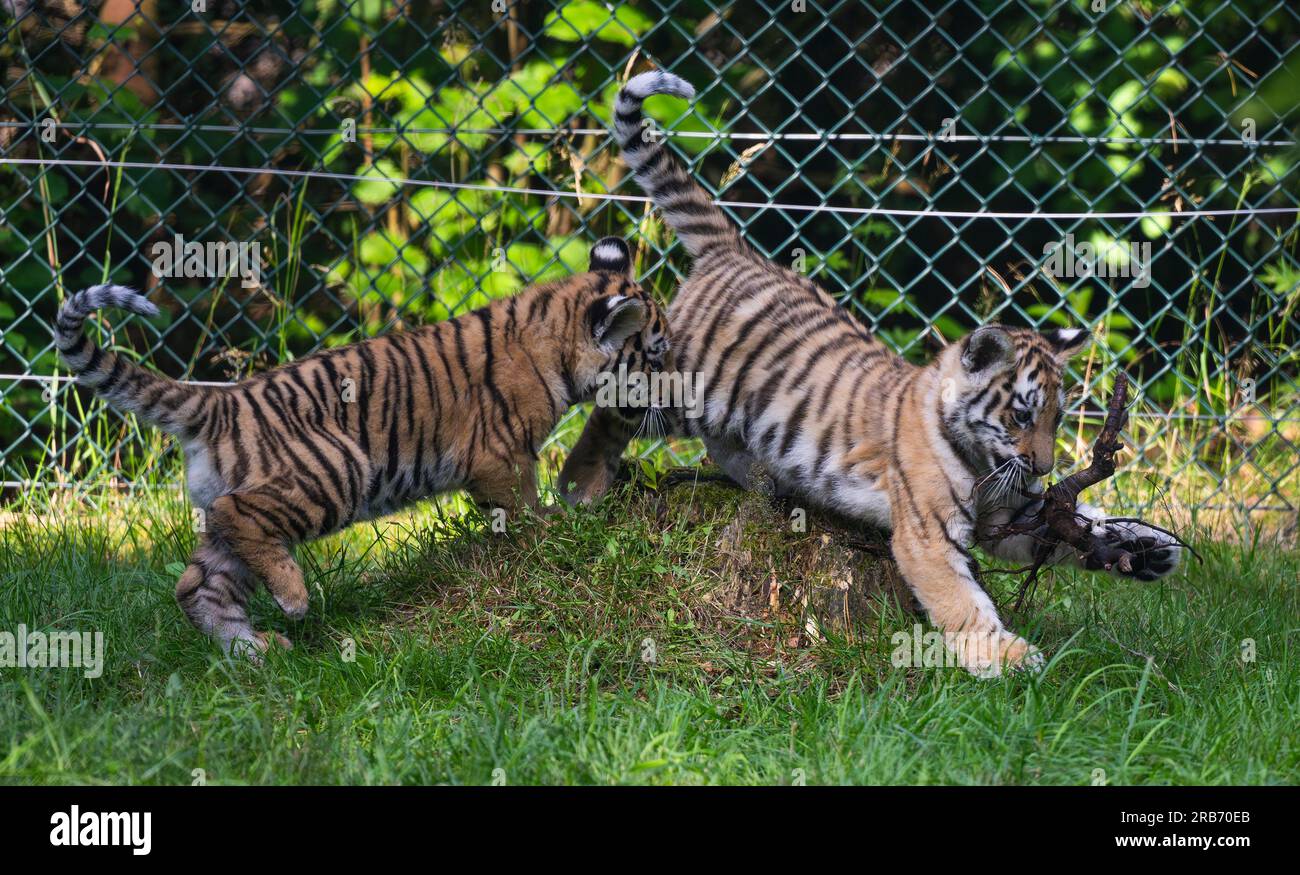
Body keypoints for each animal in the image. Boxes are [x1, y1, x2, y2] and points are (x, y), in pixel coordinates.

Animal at [55, 236, 671, 657]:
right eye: (656, 353)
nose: (673, 390)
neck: (558, 343)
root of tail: (221, 404)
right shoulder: (501, 455)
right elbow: (520, 507)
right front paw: (551, 535)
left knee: (195, 586)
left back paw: (254, 652)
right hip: (334, 470)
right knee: (238, 518)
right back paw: (294, 598)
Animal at [559, 71, 1183, 677]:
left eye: (1058, 417)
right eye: (1021, 415)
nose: (1045, 468)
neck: (978, 455)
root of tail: (734, 251)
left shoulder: (1007, 513)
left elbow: (1067, 525)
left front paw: (1148, 547)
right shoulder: (929, 533)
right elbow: (964, 602)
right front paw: (1004, 659)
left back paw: (765, 479)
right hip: (677, 385)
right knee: (612, 409)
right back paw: (576, 491)